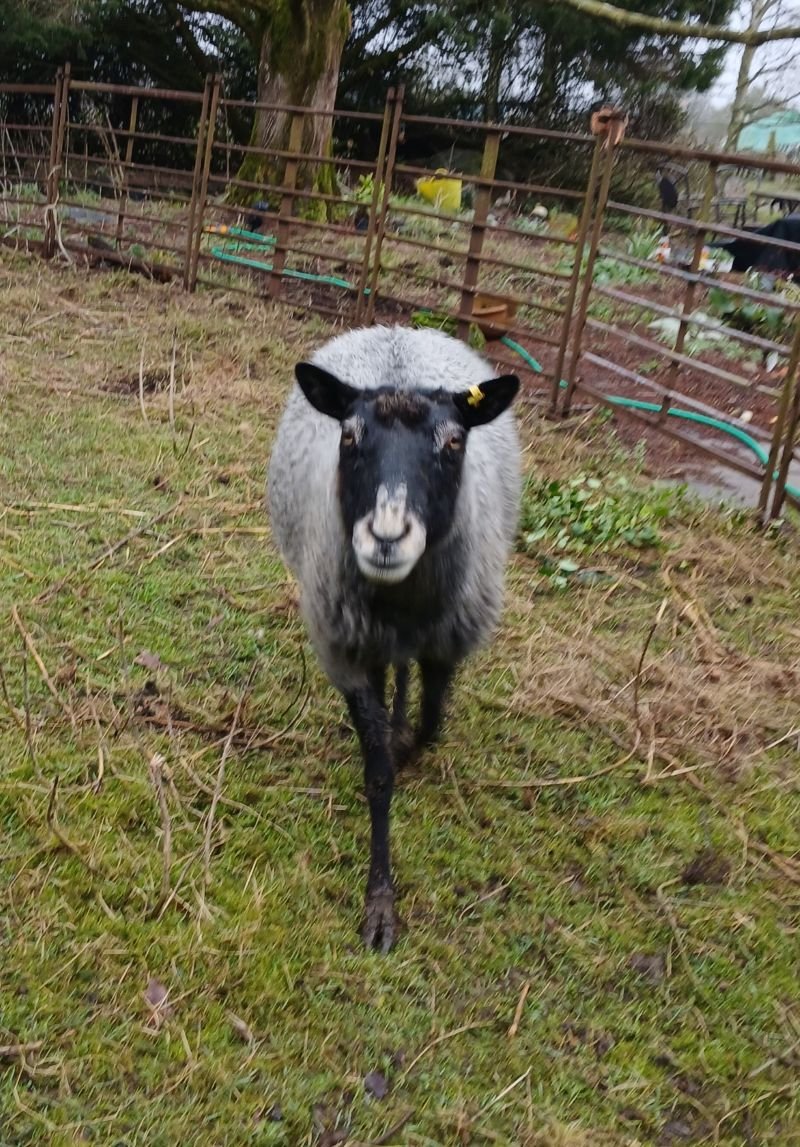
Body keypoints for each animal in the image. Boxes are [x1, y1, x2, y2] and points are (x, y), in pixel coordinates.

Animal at [267, 325, 521, 951]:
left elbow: (431, 725)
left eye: (454, 442)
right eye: (349, 436)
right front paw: (380, 903)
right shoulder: (347, 653)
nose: (387, 537)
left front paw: (407, 745)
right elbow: (377, 772)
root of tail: (398, 330)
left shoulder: (446, 646)